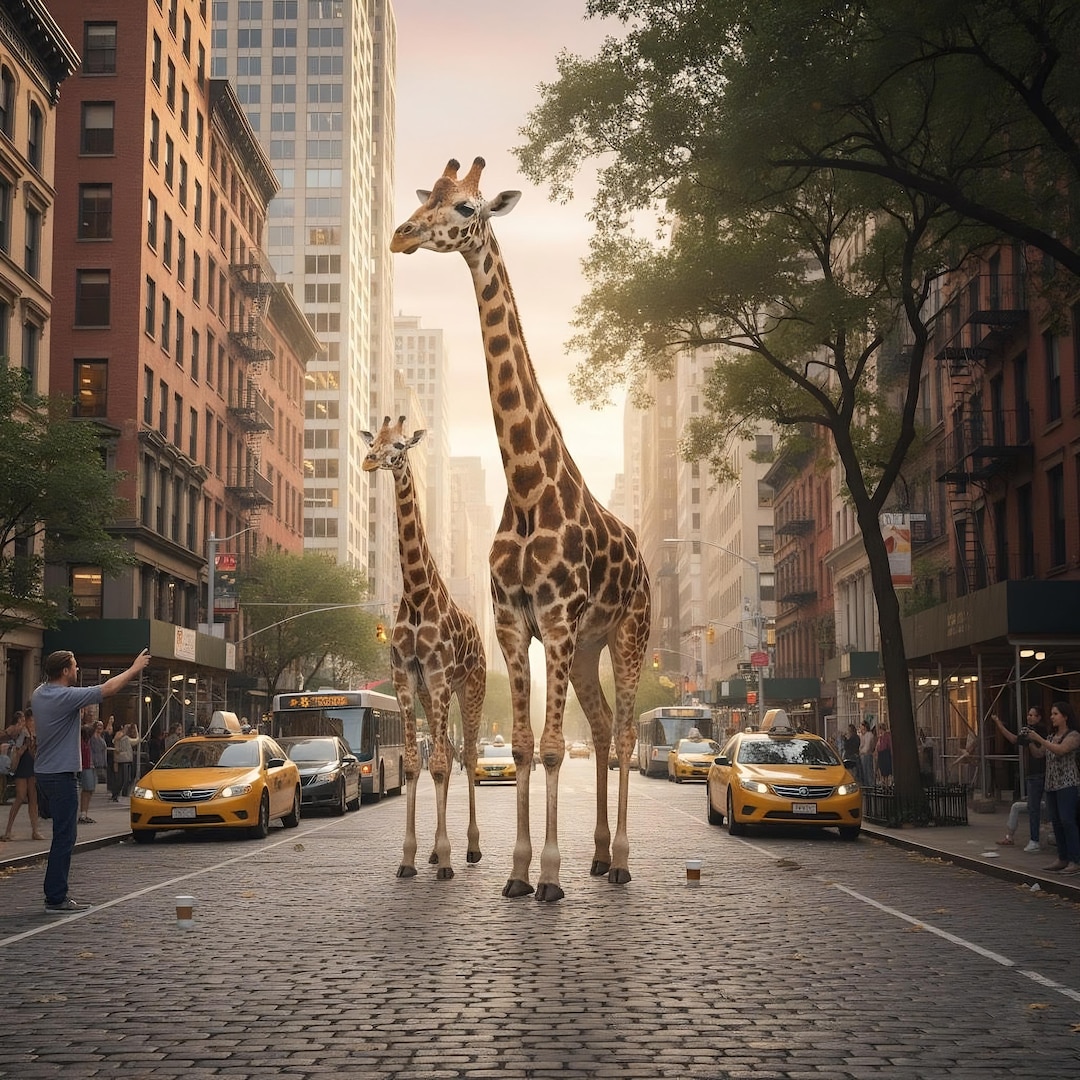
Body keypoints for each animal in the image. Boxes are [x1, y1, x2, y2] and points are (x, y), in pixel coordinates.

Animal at [360, 415, 485, 879]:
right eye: (373, 439)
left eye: (398, 445)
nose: (368, 460)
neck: (414, 595)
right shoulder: (405, 679)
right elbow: (416, 764)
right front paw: (411, 858)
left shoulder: (440, 675)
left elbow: (441, 765)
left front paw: (447, 859)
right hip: (433, 695)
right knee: (446, 751)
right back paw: (434, 852)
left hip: (469, 688)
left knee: (468, 756)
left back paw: (470, 849)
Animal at [391, 157, 652, 902]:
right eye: (429, 197)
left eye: (467, 207)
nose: (401, 235)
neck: (529, 486)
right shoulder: (516, 623)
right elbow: (525, 747)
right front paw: (517, 872)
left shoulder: (557, 620)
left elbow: (558, 748)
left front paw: (551, 878)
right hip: (590, 647)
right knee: (602, 727)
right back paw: (598, 853)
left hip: (628, 634)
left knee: (624, 736)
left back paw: (620, 862)